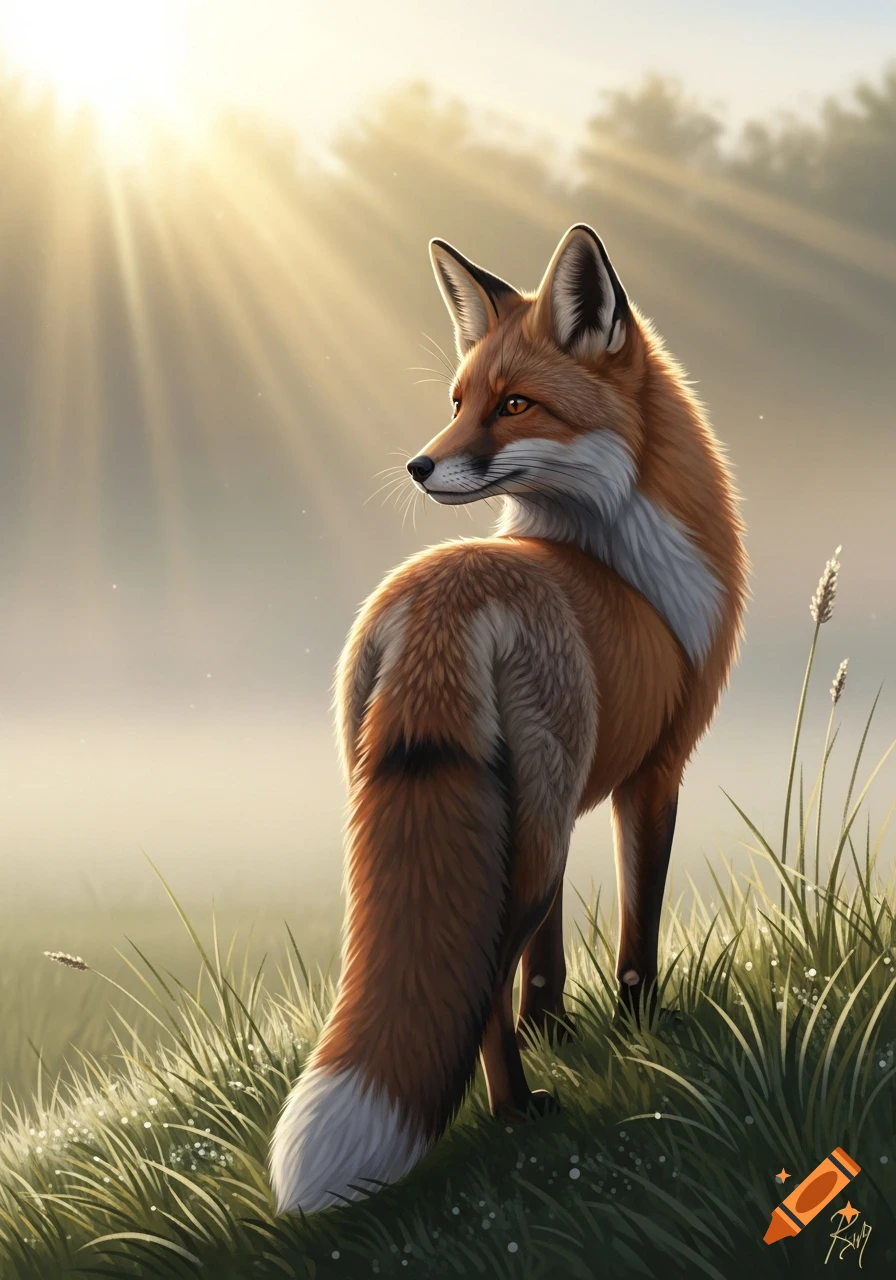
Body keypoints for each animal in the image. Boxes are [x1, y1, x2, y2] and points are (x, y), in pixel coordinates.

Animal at [269, 223, 748, 1215]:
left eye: (516, 405)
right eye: (458, 402)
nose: (418, 465)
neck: (618, 563)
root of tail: (443, 595)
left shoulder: (557, 805)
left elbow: (550, 958)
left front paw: (558, 1030)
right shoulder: (655, 774)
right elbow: (637, 933)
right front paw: (641, 1030)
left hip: (471, 812)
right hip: (528, 829)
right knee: (481, 979)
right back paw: (515, 1111)